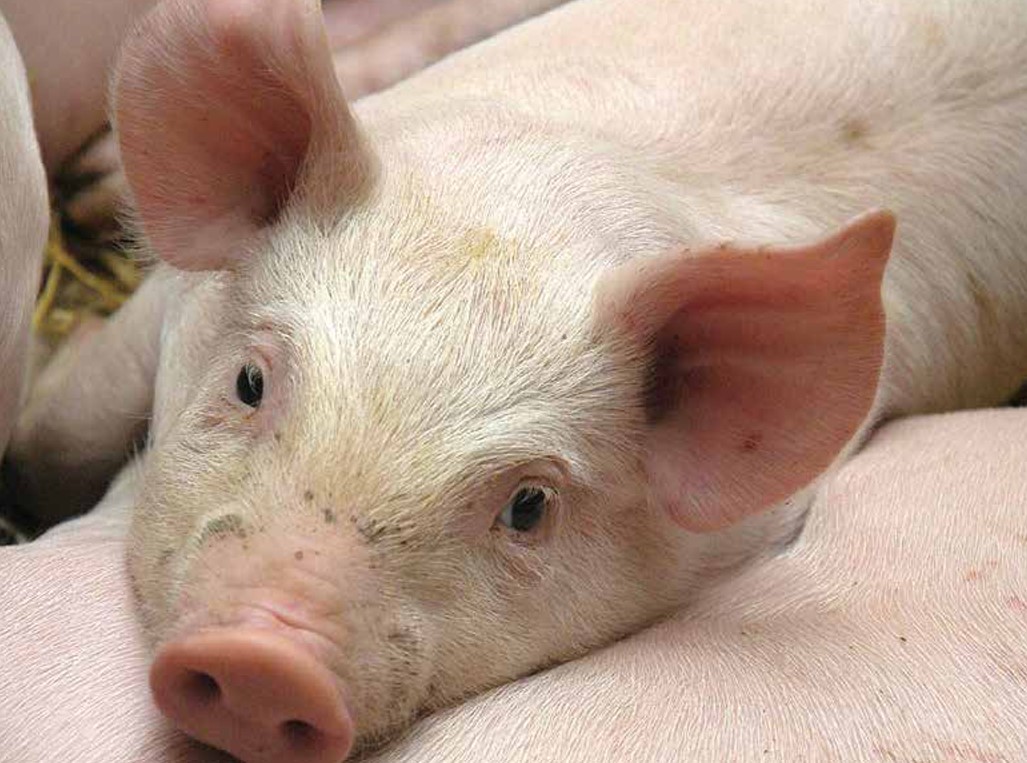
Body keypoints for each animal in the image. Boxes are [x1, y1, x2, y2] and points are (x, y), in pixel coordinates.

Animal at [6, 0, 1027, 761]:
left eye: (527, 505)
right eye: (251, 381)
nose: (263, 656)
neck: (527, 206)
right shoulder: (161, 311)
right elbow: (64, 423)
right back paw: (94, 179)